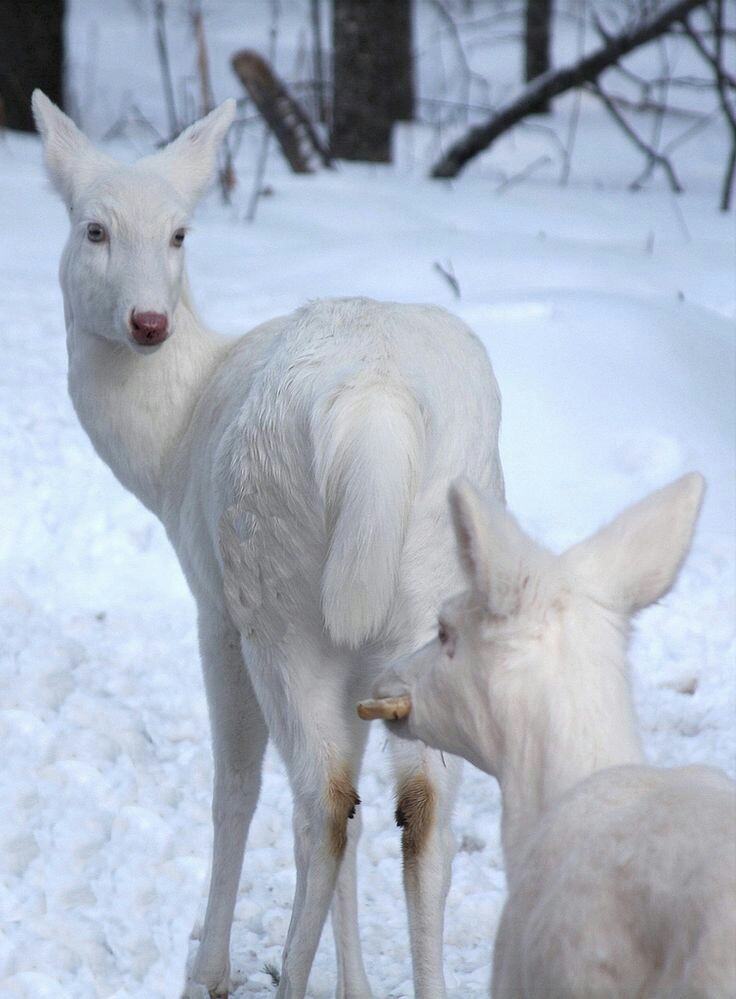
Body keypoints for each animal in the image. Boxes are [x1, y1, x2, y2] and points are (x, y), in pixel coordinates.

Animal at [31, 91, 506, 999]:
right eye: (94, 228)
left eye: (180, 232)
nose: (149, 320)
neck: (170, 450)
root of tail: (377, 409)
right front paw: (356, 985)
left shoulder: (212, 606)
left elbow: (236, 788)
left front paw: (208, 970)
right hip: (432, 588)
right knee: (420, 805)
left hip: (275, 597)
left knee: (319, 799)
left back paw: (283, 971)